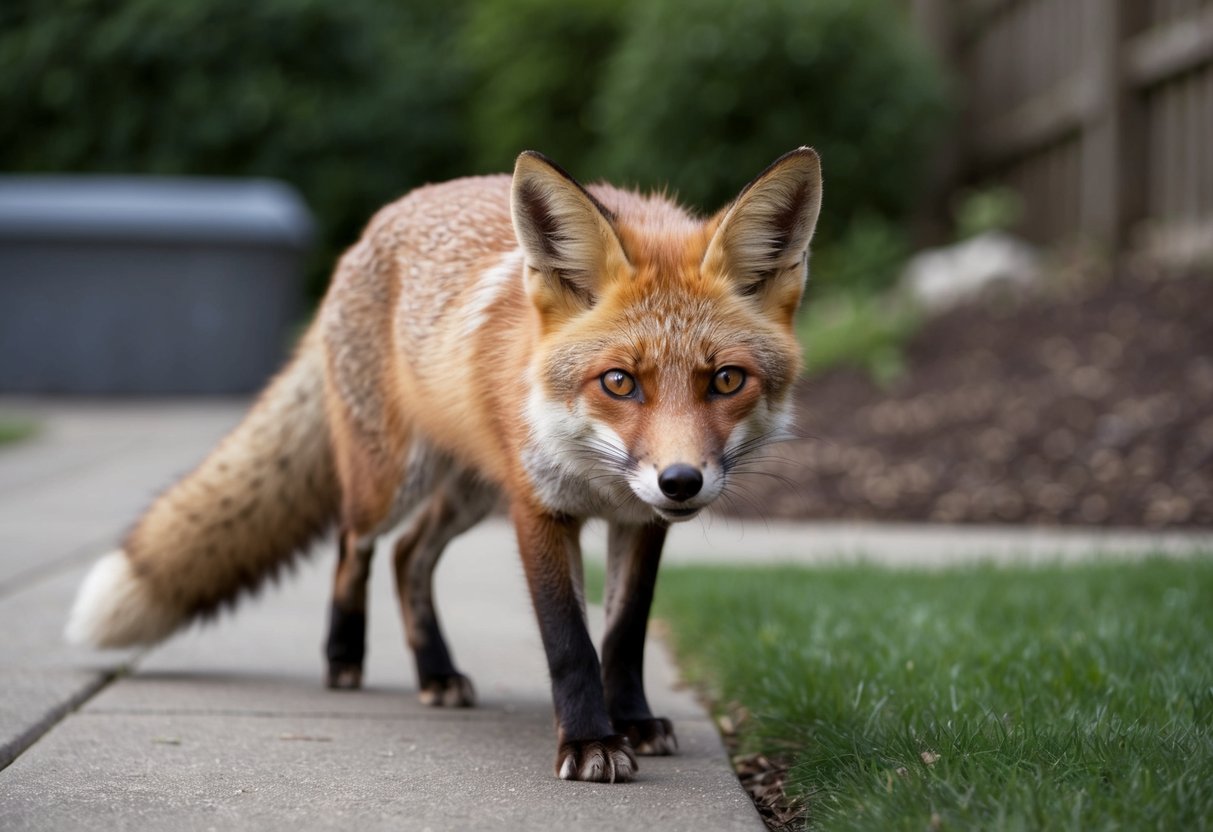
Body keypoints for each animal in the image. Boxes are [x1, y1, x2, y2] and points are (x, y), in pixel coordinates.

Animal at [66, 147, 822, 783]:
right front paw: (588, 742)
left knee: (409, 557)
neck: (597, 480)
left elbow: (624, 634)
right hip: (395, 480)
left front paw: (630, 721)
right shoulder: (537, 507)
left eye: (726, 381)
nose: (681, 481)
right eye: (618, 382)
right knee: (355, 542)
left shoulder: (639, 522)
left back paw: (436, 673)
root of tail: (374, 226)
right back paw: (343, 657)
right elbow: (570, 642)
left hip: (469, 494)